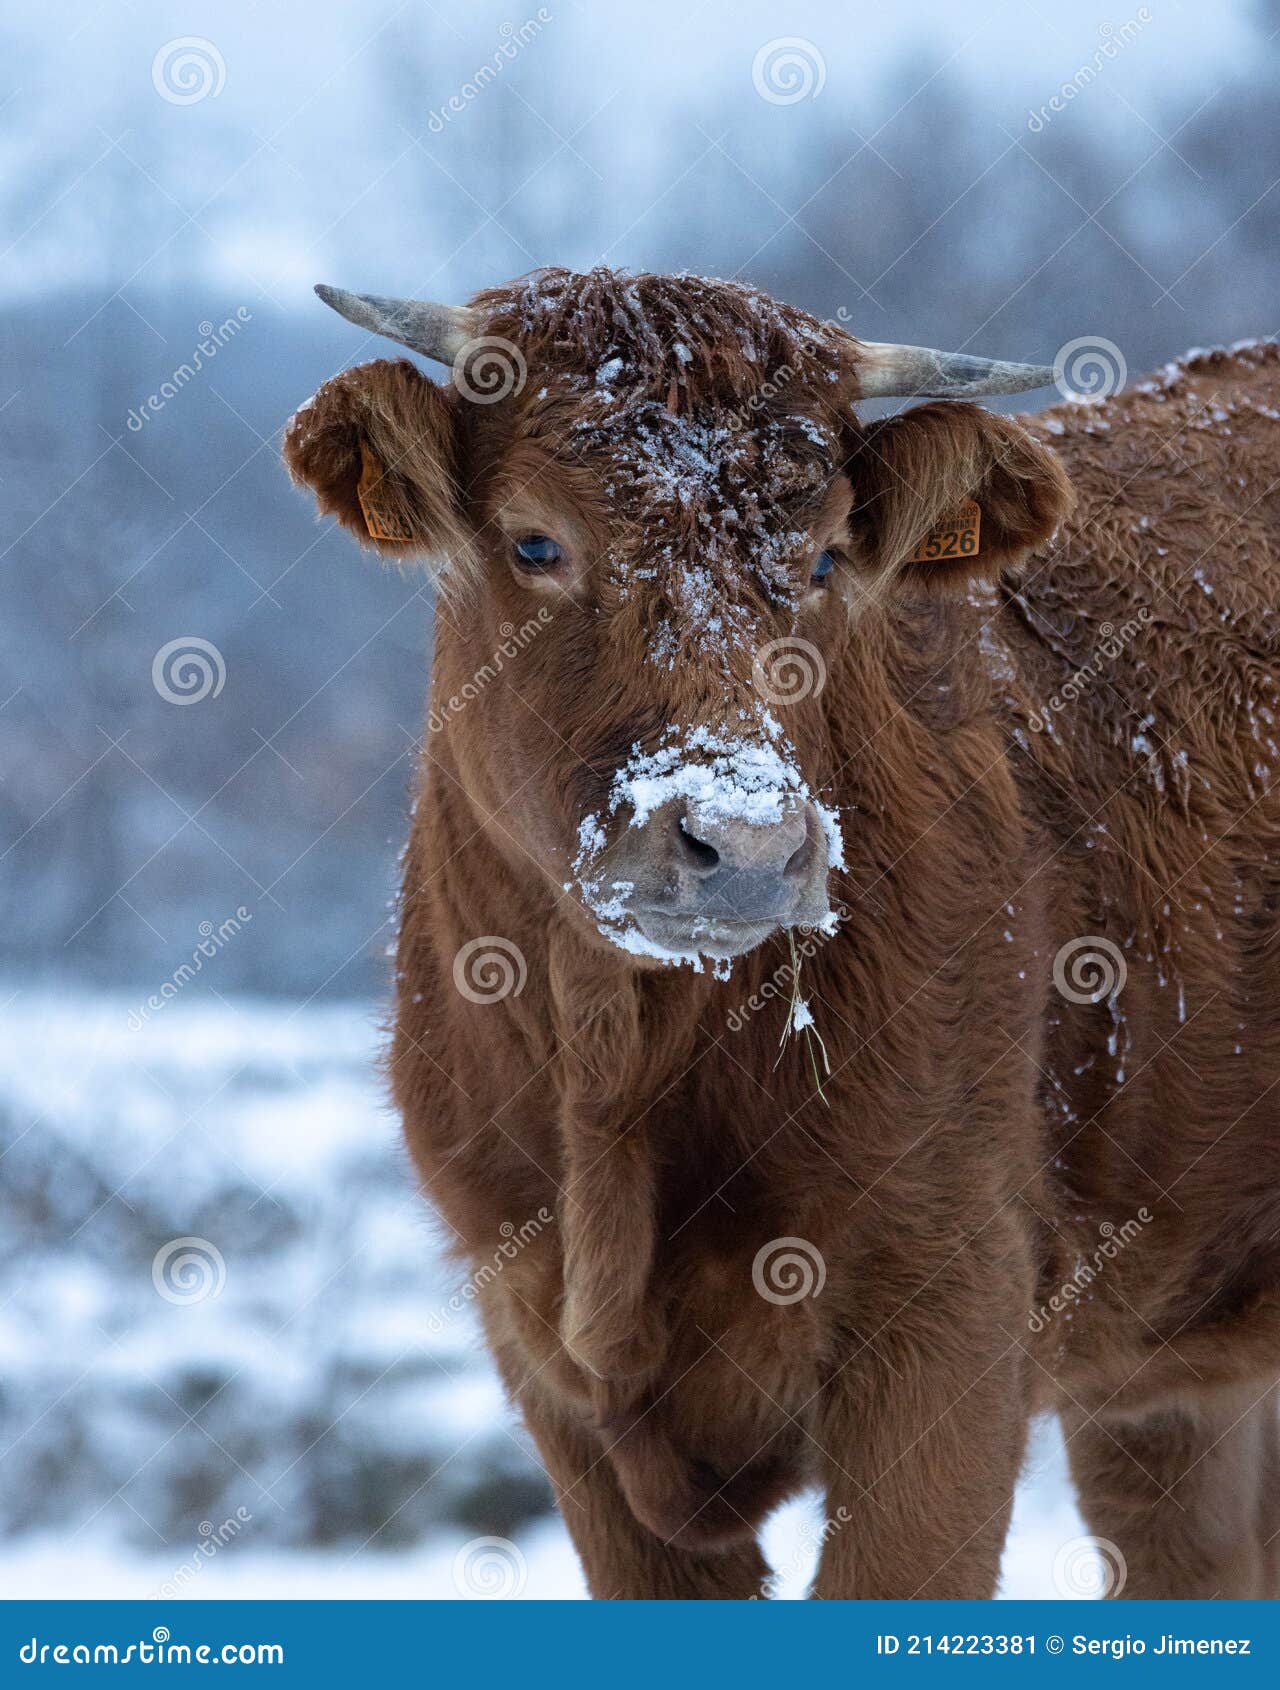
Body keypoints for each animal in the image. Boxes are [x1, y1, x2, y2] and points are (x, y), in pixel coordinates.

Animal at [284, 266, 1280, 1600]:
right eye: (536, 541)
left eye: (818, 560)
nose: (746, 839)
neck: (617, 1072)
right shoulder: (543, 1357)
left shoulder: (950, 1313)